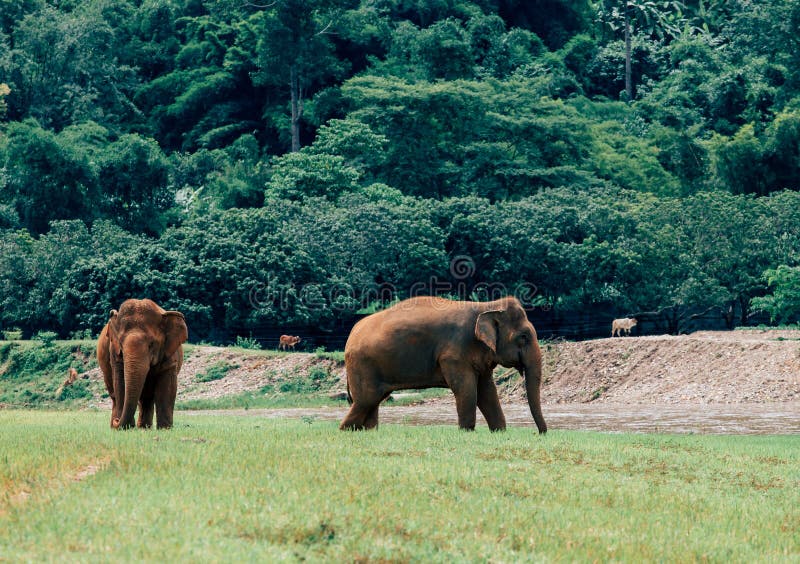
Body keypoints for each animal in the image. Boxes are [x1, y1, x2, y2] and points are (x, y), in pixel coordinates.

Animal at [97, 299, 188, 429]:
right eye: (121, 343)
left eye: (151, 344)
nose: (117, 421)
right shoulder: (114, 351)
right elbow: (120, 381)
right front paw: (125, 428)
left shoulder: (169, 353)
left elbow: (167, 385)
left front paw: (165, 429)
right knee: (116, 395)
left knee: (147, 397)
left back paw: (144, 428)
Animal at [340, 296, 547, 433]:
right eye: (523, 337)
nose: (540, 433)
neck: (487, 306)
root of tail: (351, 335)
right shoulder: (454, 353)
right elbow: (468, 390)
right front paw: (467, 433)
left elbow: (487, 391)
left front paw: (499, 432)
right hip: (362, 365)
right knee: (366, 400)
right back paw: (346, 431)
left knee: (372, 402)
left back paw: (367, 432)